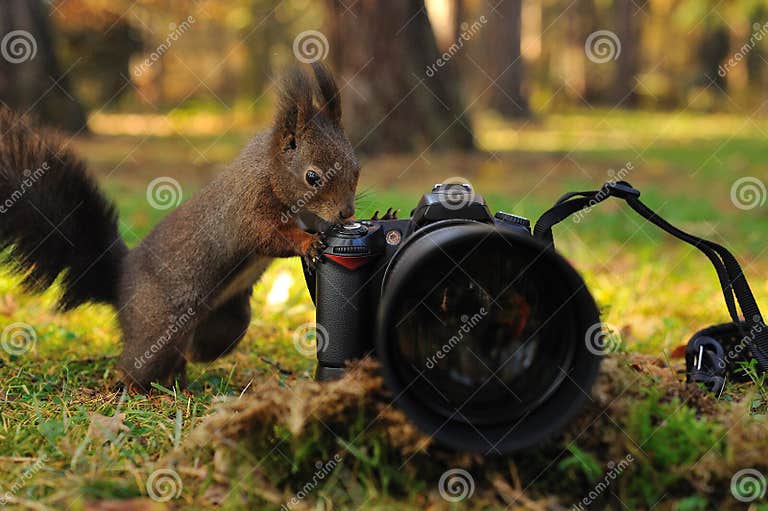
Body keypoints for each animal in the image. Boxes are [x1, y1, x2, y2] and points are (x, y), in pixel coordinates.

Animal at [0, 63, 360, 390]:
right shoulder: (248, 209)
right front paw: (309, 243)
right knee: (138, 363)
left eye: (356, 167)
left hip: (227, 321)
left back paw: (181, 379)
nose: (346, 213)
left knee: (195, 349)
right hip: (158, 325)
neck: (270, 170)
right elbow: (269, 236)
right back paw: (134, 388)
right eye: (312, 177)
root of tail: (119, 280)